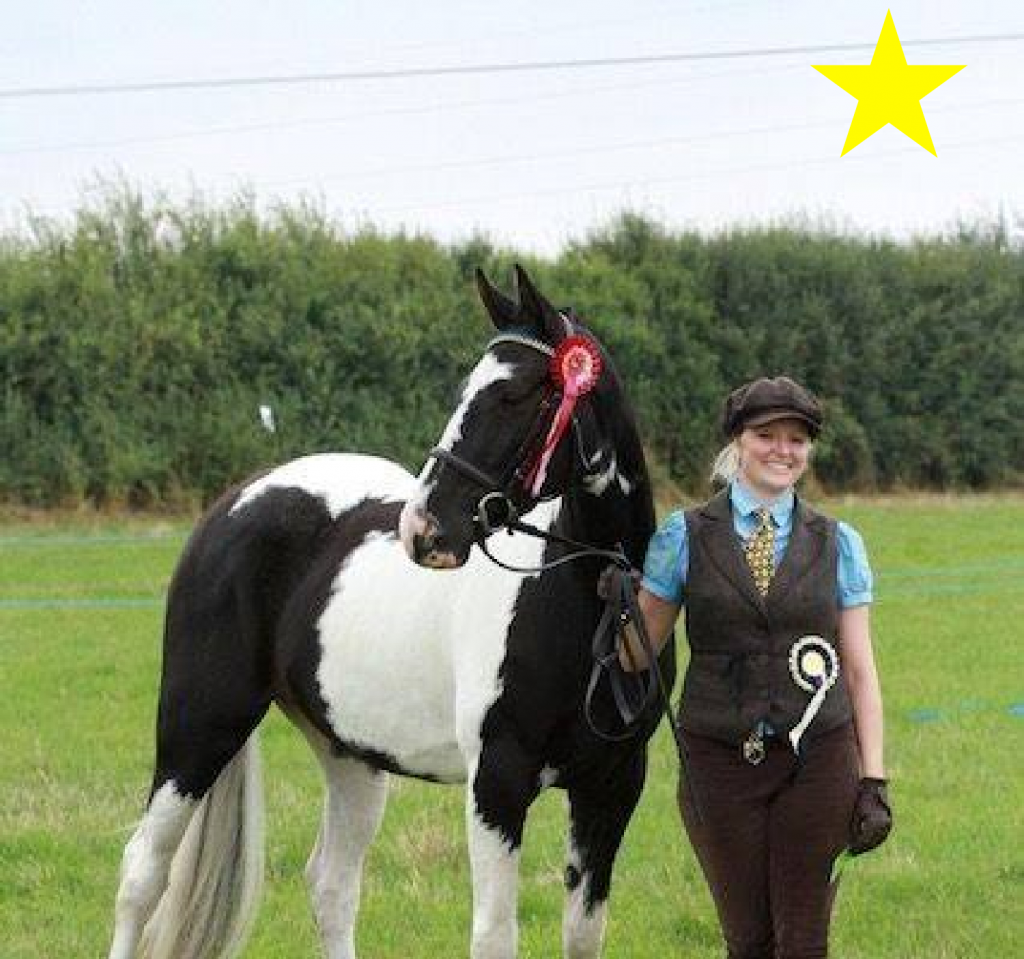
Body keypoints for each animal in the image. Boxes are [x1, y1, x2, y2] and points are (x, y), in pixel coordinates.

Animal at [107, 264, 675, 959]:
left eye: (514, 396)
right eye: (466, 391)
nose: (423, 529)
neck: (589, 597)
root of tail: (237, 500)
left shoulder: (612, 787)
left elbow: (583, 935)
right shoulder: (497, 781)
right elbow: (494, 936)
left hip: (348, 754)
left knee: (330, 884)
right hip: (200, 725)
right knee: (142, 873)